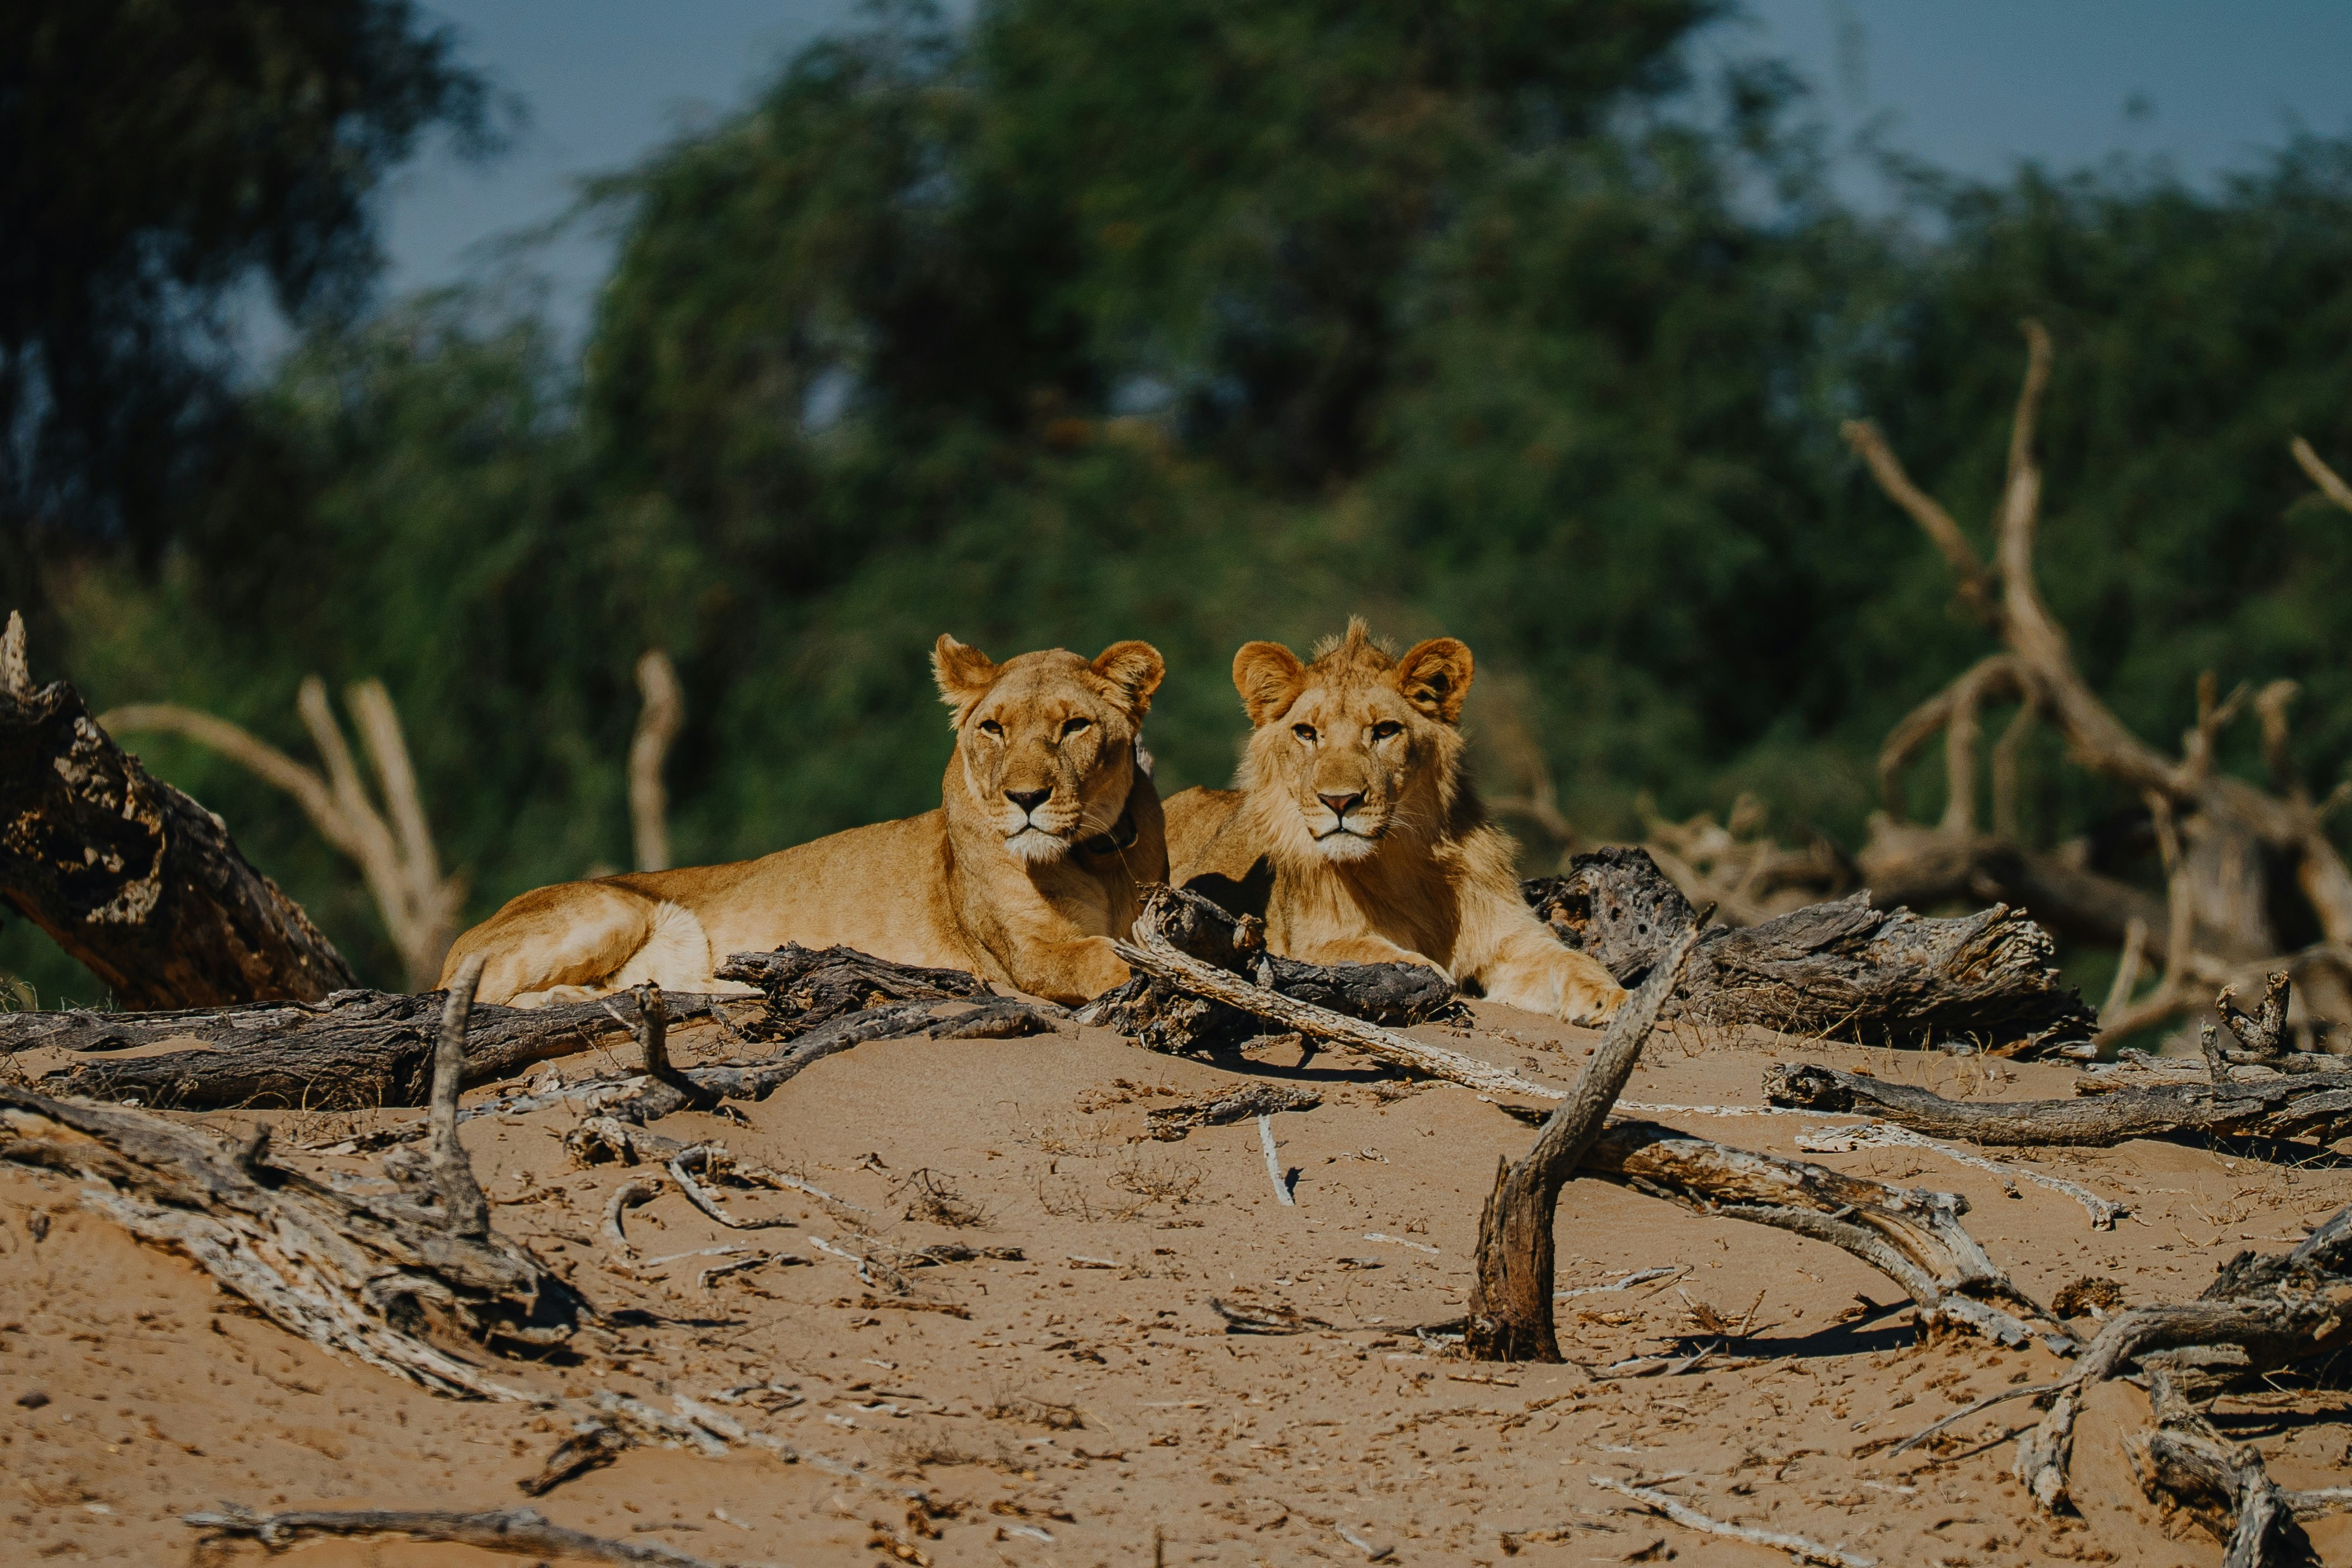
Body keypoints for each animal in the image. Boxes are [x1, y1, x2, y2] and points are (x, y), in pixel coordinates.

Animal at [440, 635, 1169, 1008]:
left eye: (1074, 726)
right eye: (993, 729)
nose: (1025, 797)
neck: (1096, 854)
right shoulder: (1031, 954)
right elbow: (1108, 960)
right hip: (613, 909)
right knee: (460, 997)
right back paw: (569, 1001)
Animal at [1164, 620, 1625, 1026]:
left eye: (1385, 731)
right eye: (1306, 733)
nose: (1339, 801)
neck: (1398, 862)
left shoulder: (1508, 935)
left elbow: (1567, 958)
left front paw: (1612, 998)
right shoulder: (1307, 941)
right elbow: (1385, 956)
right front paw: (1425, 983)